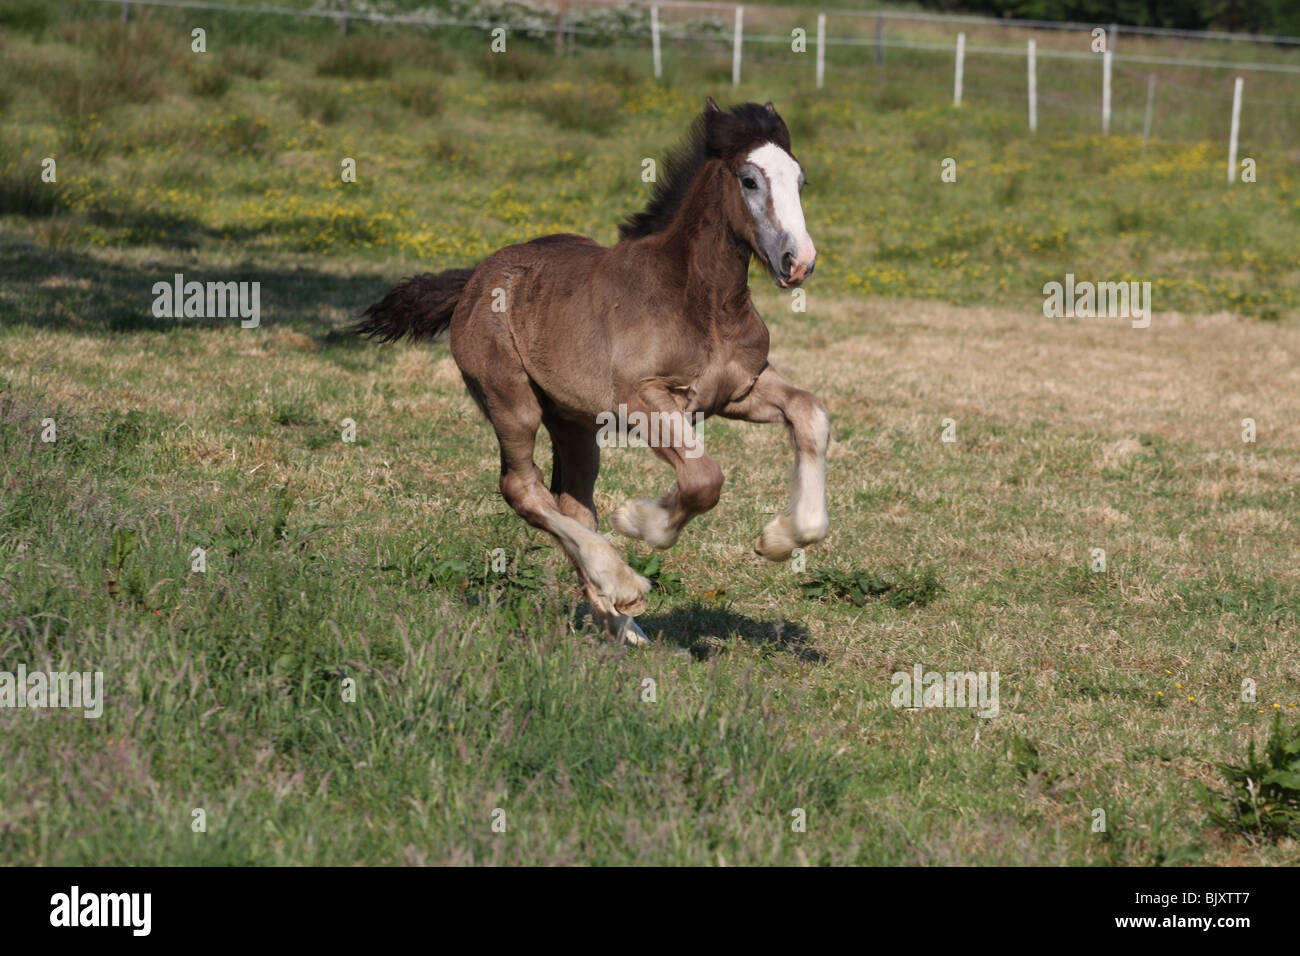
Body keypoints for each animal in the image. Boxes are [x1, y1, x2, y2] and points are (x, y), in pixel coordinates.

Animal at [357, 98, 829, 647]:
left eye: (800, 180)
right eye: (750, 180)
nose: (798, 262)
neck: (696, 301)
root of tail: (474, 279)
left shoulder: (740, 390)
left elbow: (810, 414)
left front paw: (780, 538)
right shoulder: (643, 400)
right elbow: (704, 478)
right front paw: (641, 520)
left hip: (575, 423)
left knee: (571, 500)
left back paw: (621, 621)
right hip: (511, 402)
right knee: (522, 488)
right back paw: (622, 583)